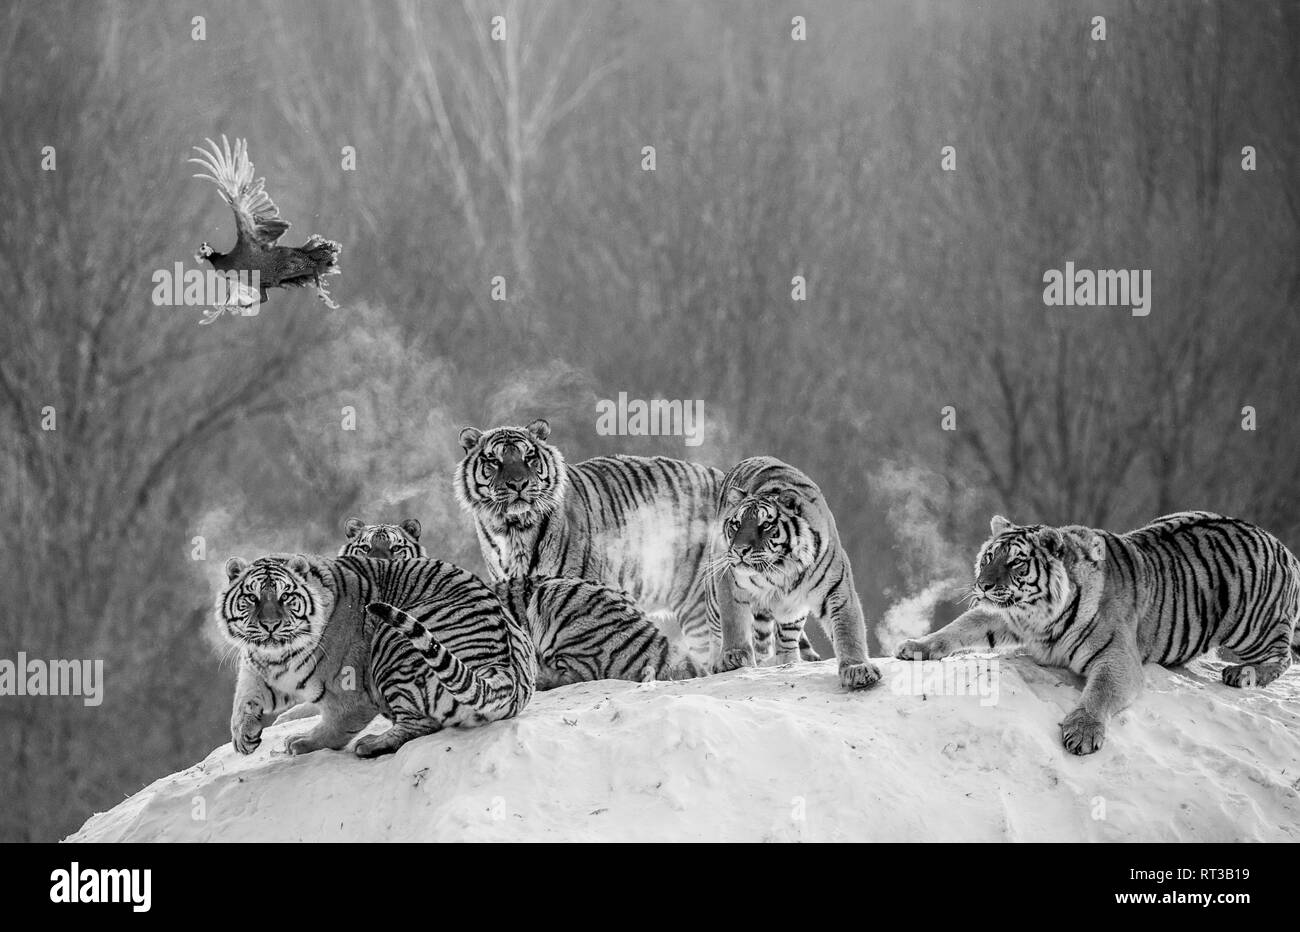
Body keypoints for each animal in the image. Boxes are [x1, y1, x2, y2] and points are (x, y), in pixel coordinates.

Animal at [218, 553, 535, 758]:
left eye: (285, 597)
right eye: (252, 598)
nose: (270, 625)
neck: (277, 656)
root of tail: (505, 669)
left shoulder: (348, 692)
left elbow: (336, 724)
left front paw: (302, 742)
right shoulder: (260, 667)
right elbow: (245, 697)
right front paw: (243, 735)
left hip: (392, 645)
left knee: (420, 722)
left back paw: (371, 744)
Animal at [706, 456, 881, 690]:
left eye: (765, 525)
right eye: (736, 524)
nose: (739, 550)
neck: (780, 568)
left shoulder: (836, 588)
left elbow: (848, 629)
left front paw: (857, 668)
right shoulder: (729, 579)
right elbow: (733, 619)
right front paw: (733, 656)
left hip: (793, 610)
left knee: (786, 640)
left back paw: (787, 662)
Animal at [894, 512, 1300, 755]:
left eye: (1016, 562)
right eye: (989, 557)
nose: (983, 584)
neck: (1037, 616)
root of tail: (1282, 546)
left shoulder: (1117, 657)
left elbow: (1099, 692)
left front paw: (1084, 732)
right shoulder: (1003, 616)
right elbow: (960, 626)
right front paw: (916, 646)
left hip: (1251, 625)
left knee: (1282, 656)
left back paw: (1245, 673)